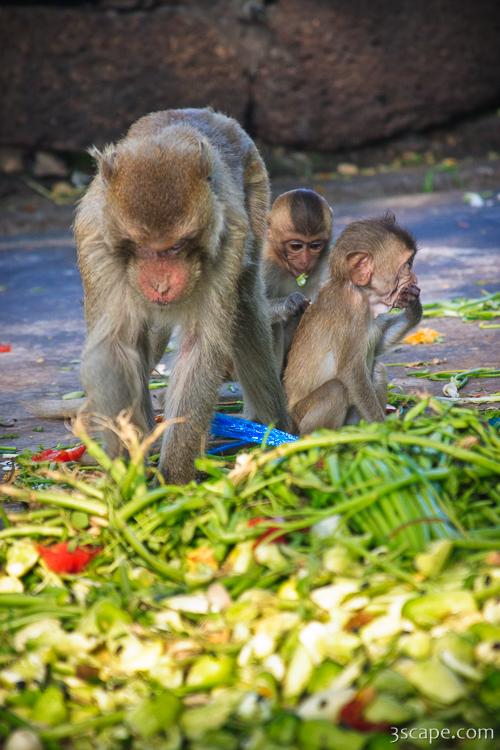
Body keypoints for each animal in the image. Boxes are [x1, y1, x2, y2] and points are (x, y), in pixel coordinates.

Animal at [73, 108, 289, 483]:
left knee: (246, 303)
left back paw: (273, 428)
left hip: (256, 187)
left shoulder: (229, 237)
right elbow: (113, 346)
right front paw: (125, 473)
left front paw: (173, 477)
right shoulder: (96, 237)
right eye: (143, 247)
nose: (162, 285)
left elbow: (200, 347)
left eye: (175, 247)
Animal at [284, 212, 422, 434]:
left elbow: (378, 345)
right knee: (336, 389)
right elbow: (351, 371)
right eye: (407, 265)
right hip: (301, 418)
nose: (415, 279)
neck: (360, 291)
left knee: (377, 370)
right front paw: (384, 431)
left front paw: (414, 307)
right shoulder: (353, 309)